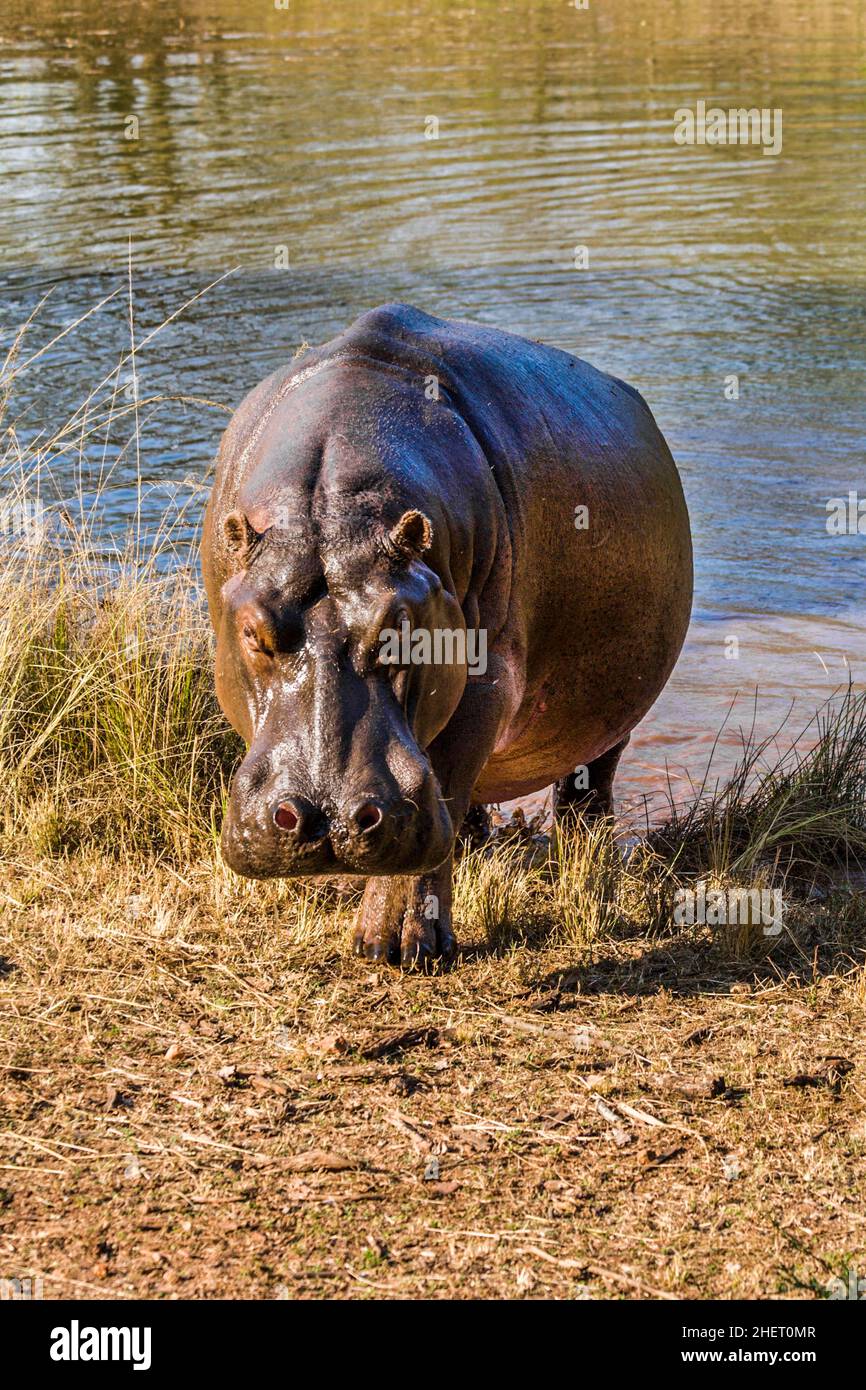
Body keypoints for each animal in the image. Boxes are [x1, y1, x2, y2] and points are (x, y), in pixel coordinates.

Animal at [202, 304, 692, 968]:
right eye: (253, 632)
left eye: (401, 630)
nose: (325, 818)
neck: (332, 509)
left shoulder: (486, 686)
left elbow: (442, 799)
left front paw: (396, 946)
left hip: (611, 718)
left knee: (584, 795)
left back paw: (586, 879)